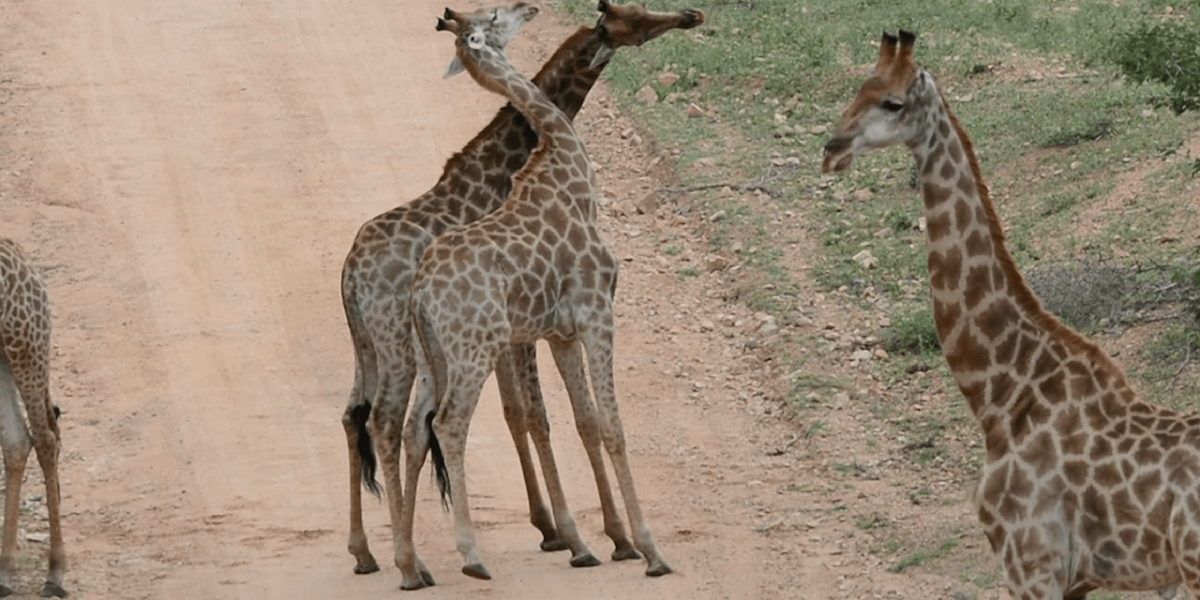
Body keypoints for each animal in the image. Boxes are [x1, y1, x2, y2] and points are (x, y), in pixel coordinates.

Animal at [340, 0, 704, 576]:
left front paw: (597, 535)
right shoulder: (563, 324)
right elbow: (550, 418)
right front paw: (600, 539)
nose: (690, 15)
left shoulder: (543, 332)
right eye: (631, 17)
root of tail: (351, 270)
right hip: (415, 349)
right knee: (402, 423)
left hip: (377, 349)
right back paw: (437, 559)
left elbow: (564, 418)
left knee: (366, 420)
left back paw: (379, 555)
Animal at [824, 29, 1200, 600]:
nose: (833, 150)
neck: (1002, 397)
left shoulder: (1031, 562)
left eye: (892, 102)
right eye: (858, 88)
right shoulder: (1071, 577)